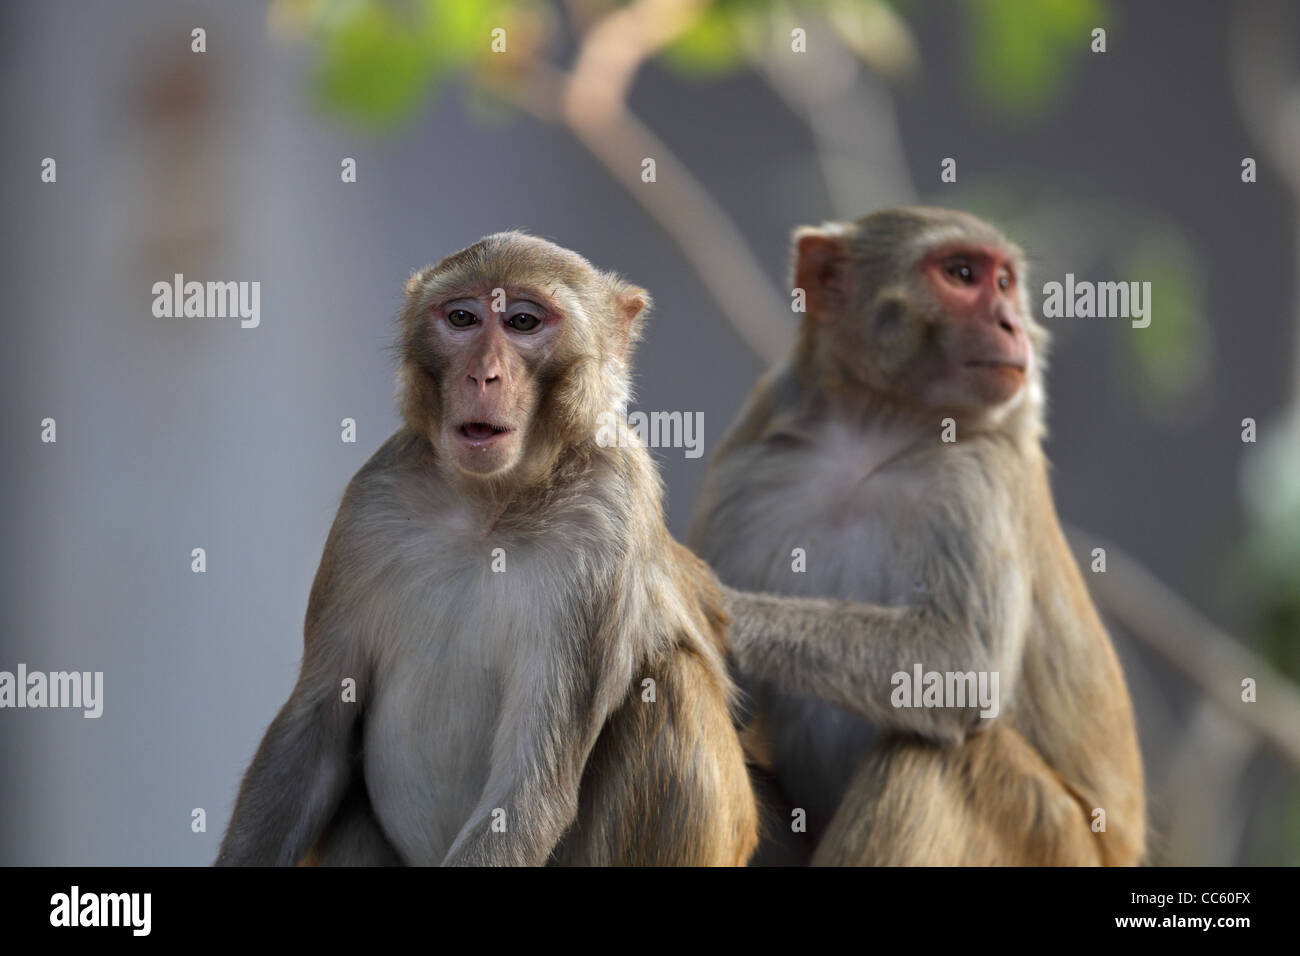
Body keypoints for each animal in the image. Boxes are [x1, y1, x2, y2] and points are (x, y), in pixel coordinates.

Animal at [216, 232, 760, 866]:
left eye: (523, 321)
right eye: (462, 319)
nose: (483, 376)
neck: (491, 511)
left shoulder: (610, 516)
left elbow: (530, 788)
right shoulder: (371, 503)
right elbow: (315, 730)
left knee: (673, 683)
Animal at [689, 207, 1146, 866]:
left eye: (1004, 283)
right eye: (962, 274)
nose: (1011, 324)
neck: (874, 427)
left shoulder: (982, 472)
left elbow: (966, 664)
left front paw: (706, 600)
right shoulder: (747, 458)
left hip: (1055, 842)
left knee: (941, 753)